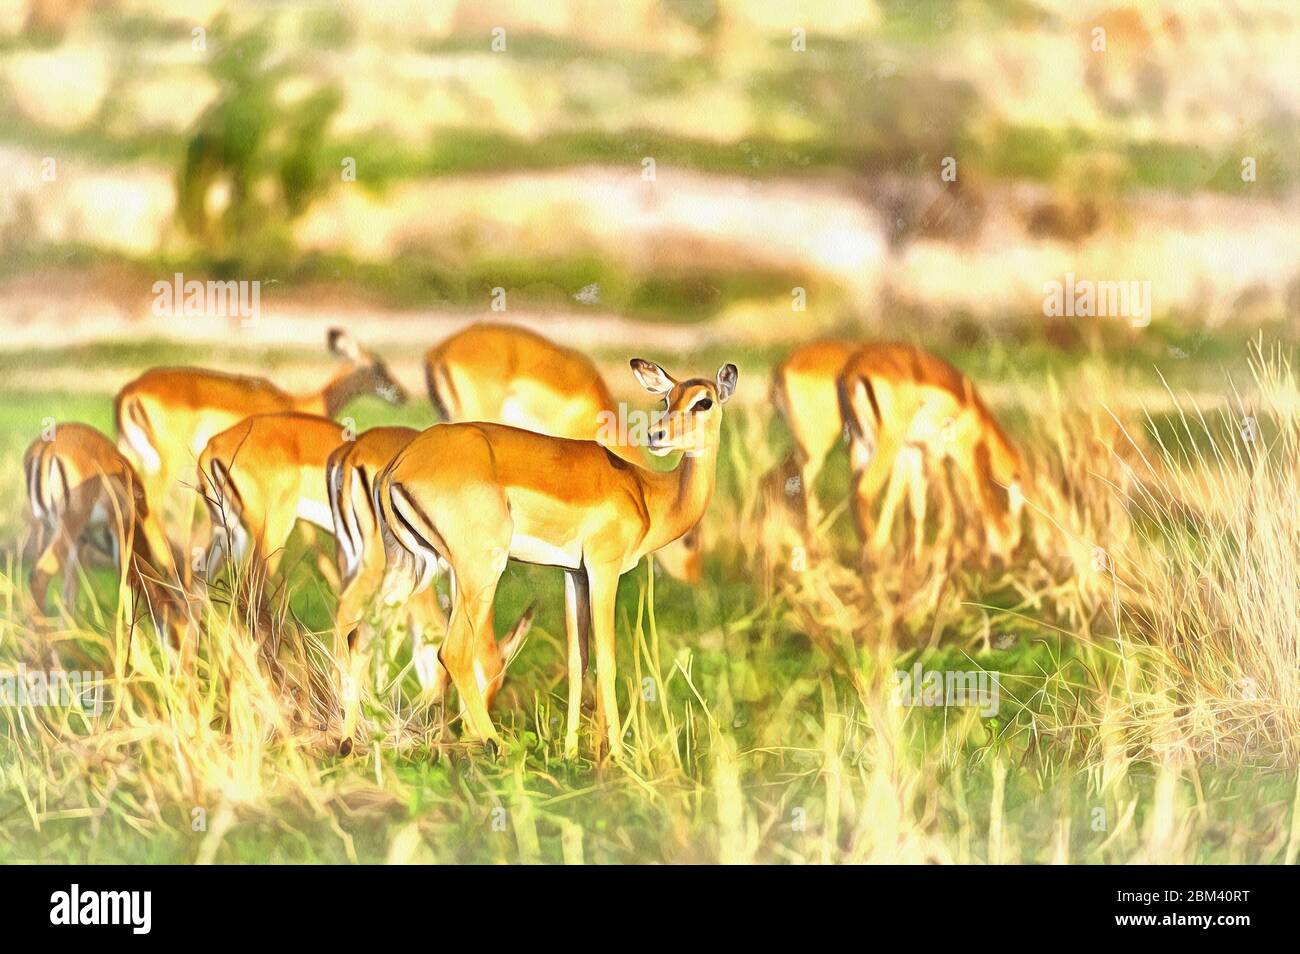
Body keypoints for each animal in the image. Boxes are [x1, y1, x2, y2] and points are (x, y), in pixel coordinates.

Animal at [24, 423, 193, 652]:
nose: (190, 663)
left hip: (46, 528)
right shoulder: (122, 534)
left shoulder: (79, 543)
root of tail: (45, 449)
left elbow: (69, 597)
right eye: (181, 633)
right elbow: (128, 586)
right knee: (39, 575)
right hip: (68, 526)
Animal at [376, 358, 738, 760]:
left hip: (407, 566)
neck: (645, 493)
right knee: (454, 651)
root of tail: (401, 464)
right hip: (480, 570)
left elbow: (578, 661)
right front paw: (616, 755)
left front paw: (570, 753)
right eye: (667, 400)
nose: (656, 435)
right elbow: (607, 660)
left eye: (703, 402)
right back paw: (497, 744)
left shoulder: (573, 574)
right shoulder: (603, 570)